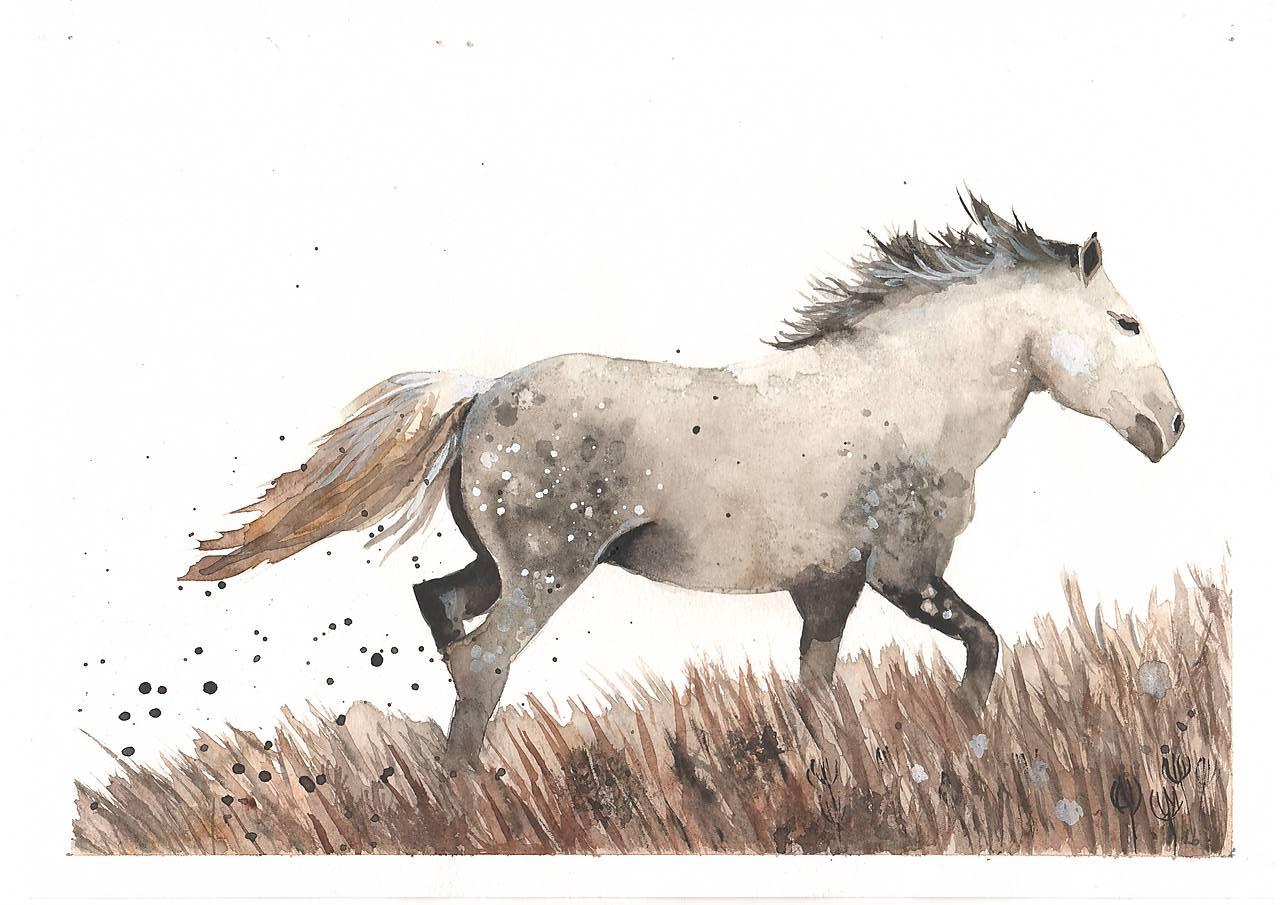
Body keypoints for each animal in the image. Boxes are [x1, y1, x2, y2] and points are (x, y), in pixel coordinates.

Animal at [182, 192, 1184, 767]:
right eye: (1128, 323)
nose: (1173, 427)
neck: (911, 392)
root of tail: (476, 396)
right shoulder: (905, 572)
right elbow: (984, 644)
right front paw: (969, 744)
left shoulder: (830, 587)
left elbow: (815, 692)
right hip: (547, 572)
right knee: (488, 660)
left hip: (502, 565)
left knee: (444, 614)